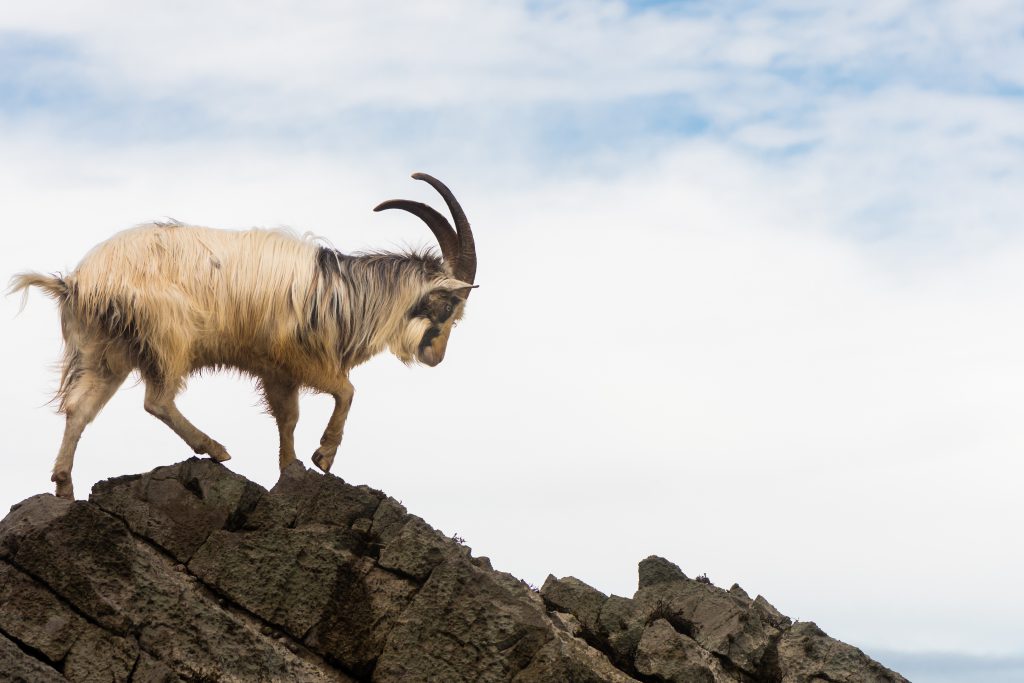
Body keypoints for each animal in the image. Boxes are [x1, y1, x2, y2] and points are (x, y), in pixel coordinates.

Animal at [9, 173, 477, 499]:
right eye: (449, 307)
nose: (436, 357)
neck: (345, 293)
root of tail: (77, 282)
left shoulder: (277, 373)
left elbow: (288, 419)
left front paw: (290, 471)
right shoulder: (298, 357)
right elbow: (346, 392)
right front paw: (323, 456)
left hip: (103, 350)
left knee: (80, 409)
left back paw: (64, 486)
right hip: (167, 334)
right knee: (157, 400)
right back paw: (215, 448)